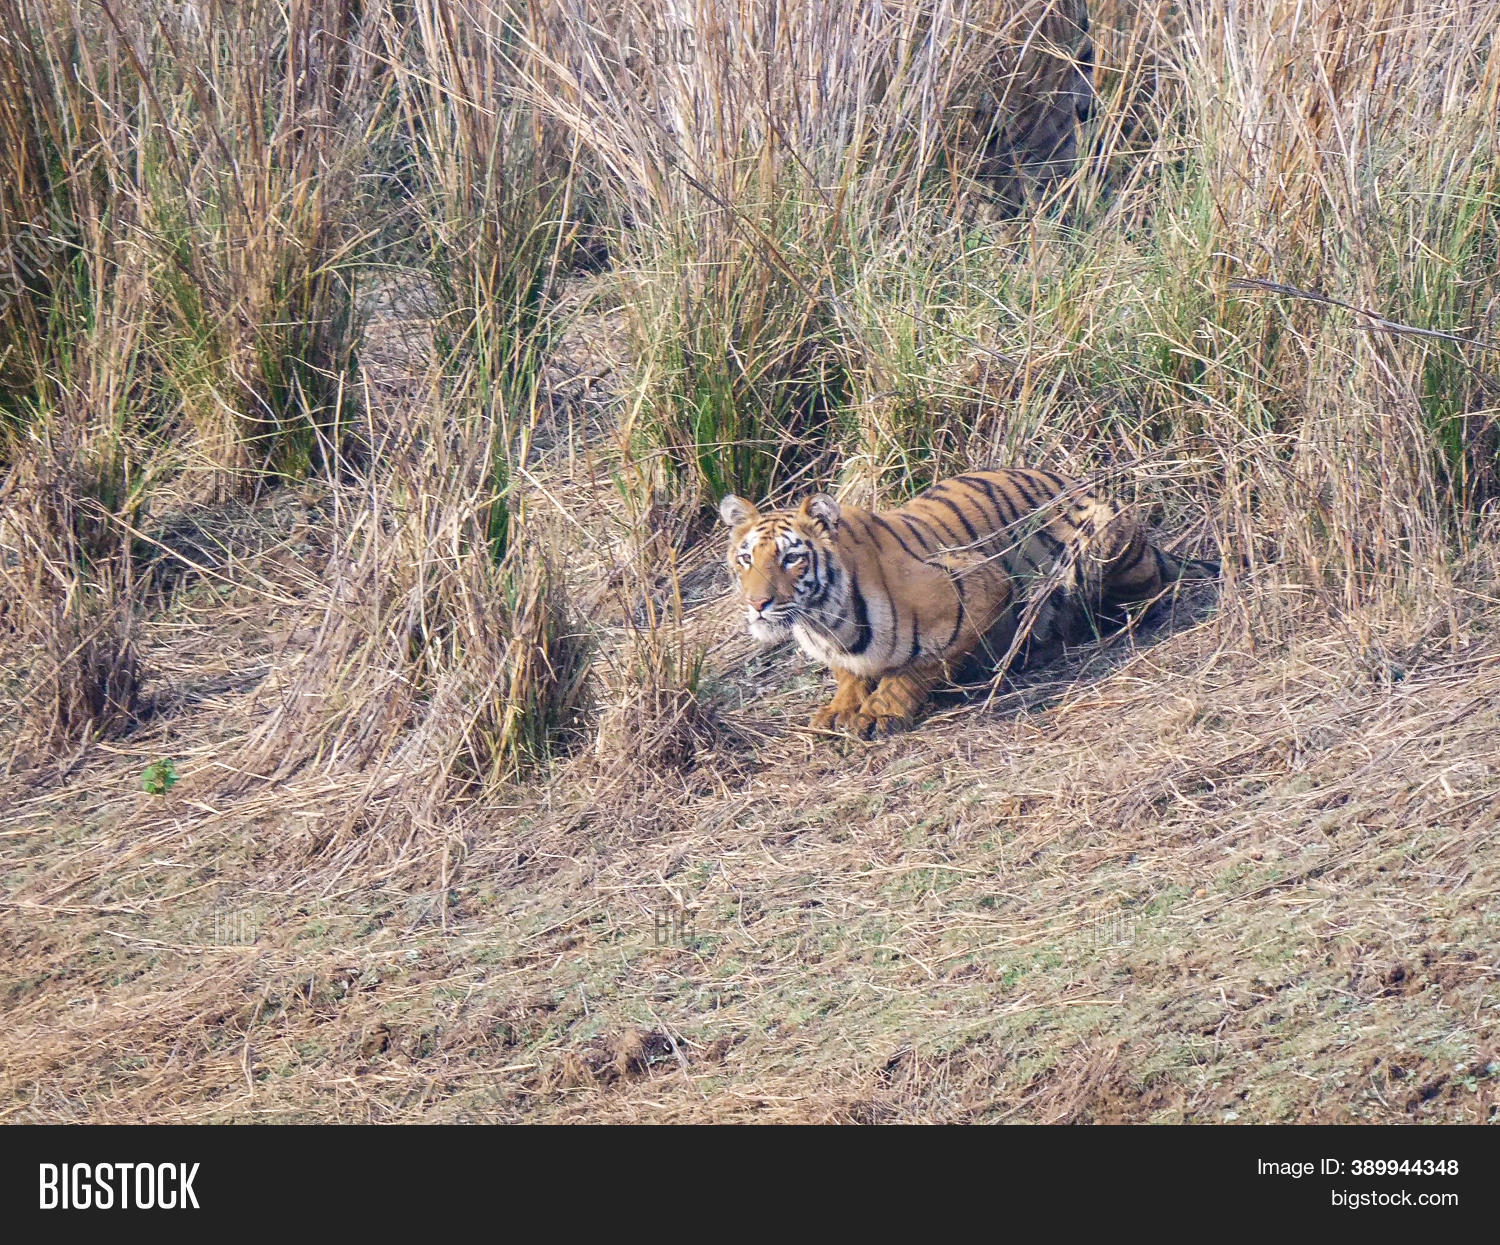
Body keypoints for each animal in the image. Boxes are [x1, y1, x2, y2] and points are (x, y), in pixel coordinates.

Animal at [720, 468, 1218, 737]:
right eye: (746, 559)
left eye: (791, 558)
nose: (757, 603)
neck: (826, 622)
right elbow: (849, 675)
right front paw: (840, 707)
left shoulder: (981, 587)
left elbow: (919, 666)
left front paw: (882, 712)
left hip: (1095, 544)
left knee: (1143, 597)